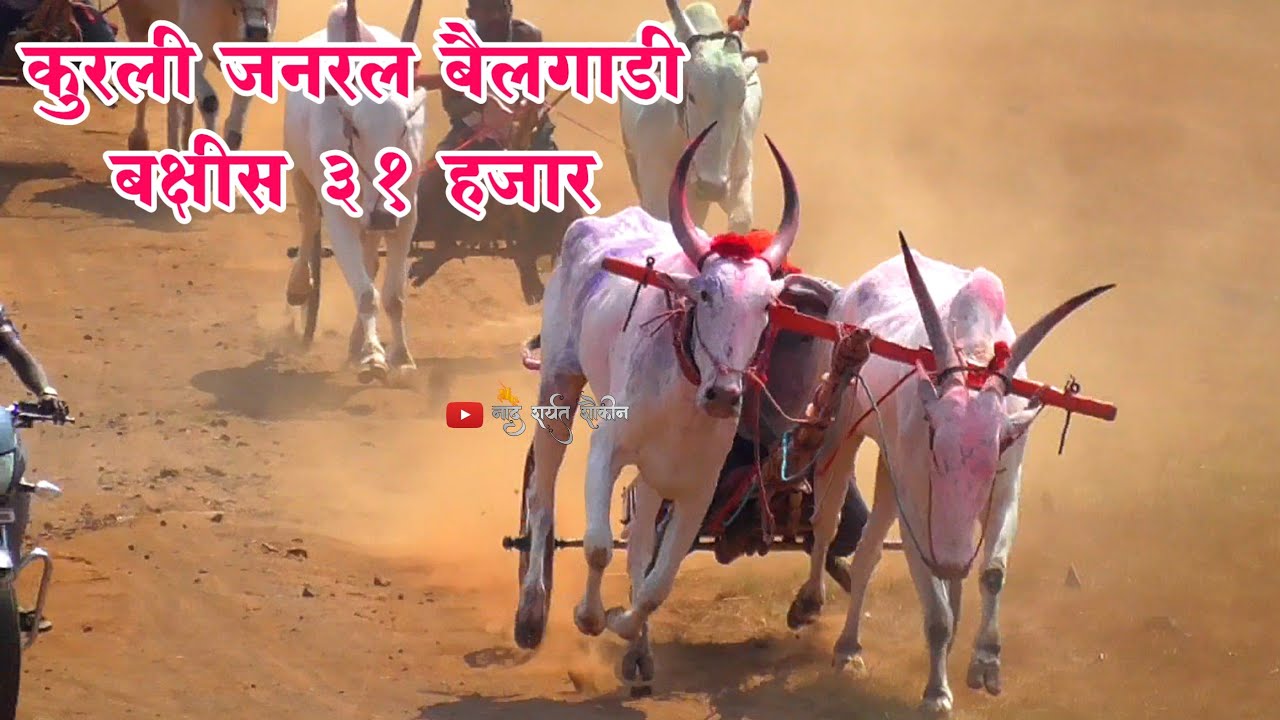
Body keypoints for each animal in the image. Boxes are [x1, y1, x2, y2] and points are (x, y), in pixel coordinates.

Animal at [115, 0, 278, 151]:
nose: (257, 33)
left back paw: (182, 142)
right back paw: (140, 138)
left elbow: (235, 132)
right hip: (138, 25)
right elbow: (209, 102)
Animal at [282, 0, 427, 384]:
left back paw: (355, 344)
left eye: (403, 127)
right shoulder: (339, 216)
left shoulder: (406, 215)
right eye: (354, 127)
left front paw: (401, 356)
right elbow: (364, 294)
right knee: (308, 228)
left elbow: (392, 295)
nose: (383, 214)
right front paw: (374, 357)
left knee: (370, 262)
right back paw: (299, 288)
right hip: (299, 173)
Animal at [513, 122, 814, 663]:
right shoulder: (606, 451)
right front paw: (588, 617)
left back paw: (637, 653)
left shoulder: (696, 490)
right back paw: (530, 612)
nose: (724, 394)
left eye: (765, 305)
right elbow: (596, 545)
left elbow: (656, 582)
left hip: (654, 474)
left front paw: (626, 626)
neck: (683, 402)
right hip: (558, 390)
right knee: (541, 500)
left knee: (638, 540)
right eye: (705, 293)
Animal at [791, 233, 1113, 714]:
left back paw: (849, 648)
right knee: (826, 523)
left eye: (996, 454)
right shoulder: (917, 513)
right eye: (936, 448)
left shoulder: (1005, 490)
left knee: (867, 550)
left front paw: (986, 664)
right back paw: (811, 604)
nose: (950, 559)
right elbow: (937, 613)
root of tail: (849, 291)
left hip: (889, 468)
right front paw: (937, 694)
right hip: (841, 428)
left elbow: (992, 571)